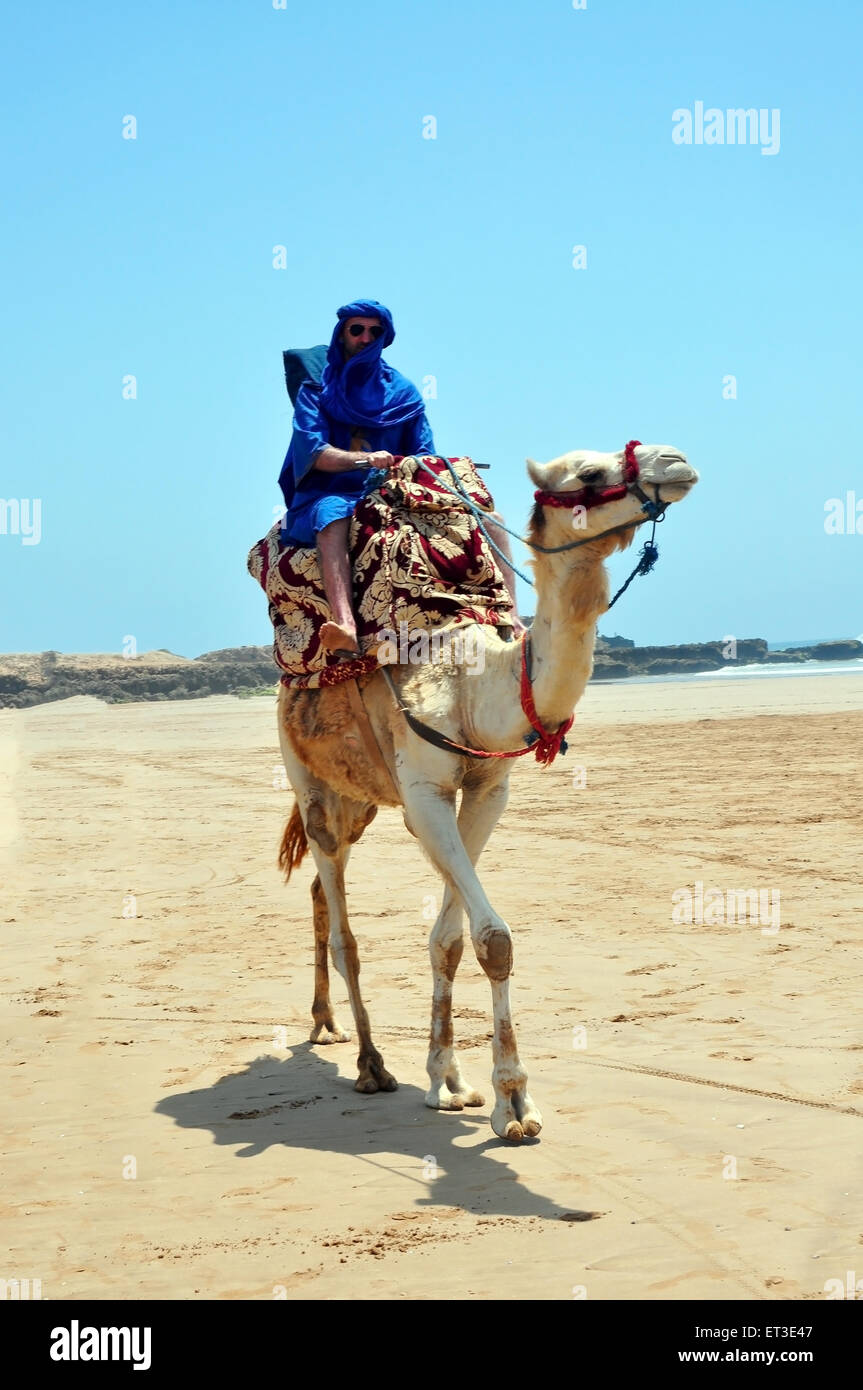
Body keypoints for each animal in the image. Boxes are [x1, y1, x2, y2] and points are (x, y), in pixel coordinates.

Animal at [275, 443, 698, 1141]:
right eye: (589, 474)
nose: (678, 460)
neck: (477, 686)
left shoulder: (484, 791)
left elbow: (448, 941)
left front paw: (451, 1083)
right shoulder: (426, 792)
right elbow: (492, 938)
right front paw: (515, 1102)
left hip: (360, 799)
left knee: (317, 890)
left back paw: (325, 1025)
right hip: (309, 783)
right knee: (343, 927)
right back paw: (369, 1063)